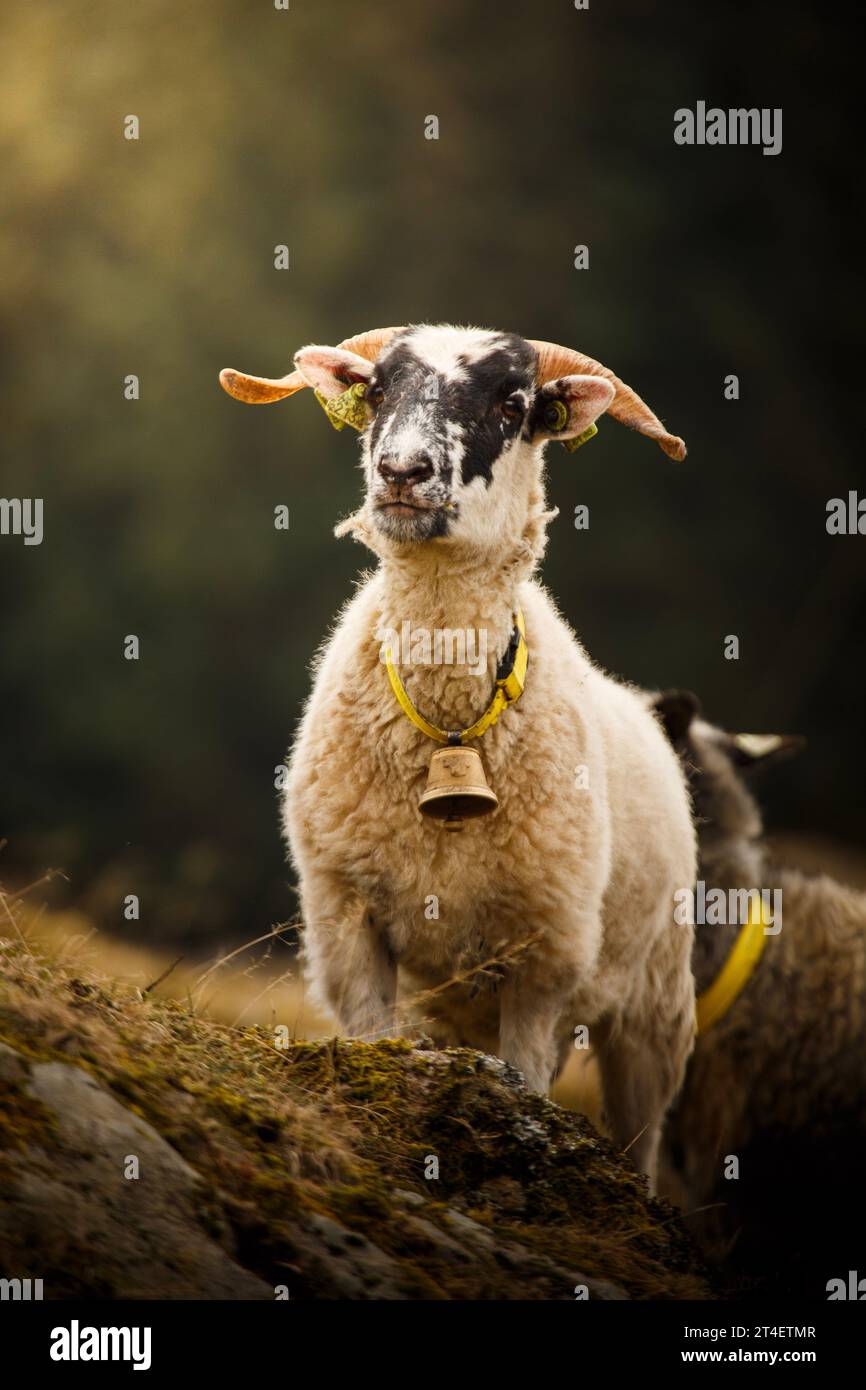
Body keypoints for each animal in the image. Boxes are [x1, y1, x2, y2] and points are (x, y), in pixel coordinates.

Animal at [220, 324, 696, 1185]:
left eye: (512, 404)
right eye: (376, 391)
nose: (401, 472)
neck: (447, 731)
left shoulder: (544, 963)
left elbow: (531, 1080)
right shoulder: (347, 925)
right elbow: (372, 1042)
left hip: (653, 1014)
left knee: (640, 1138)